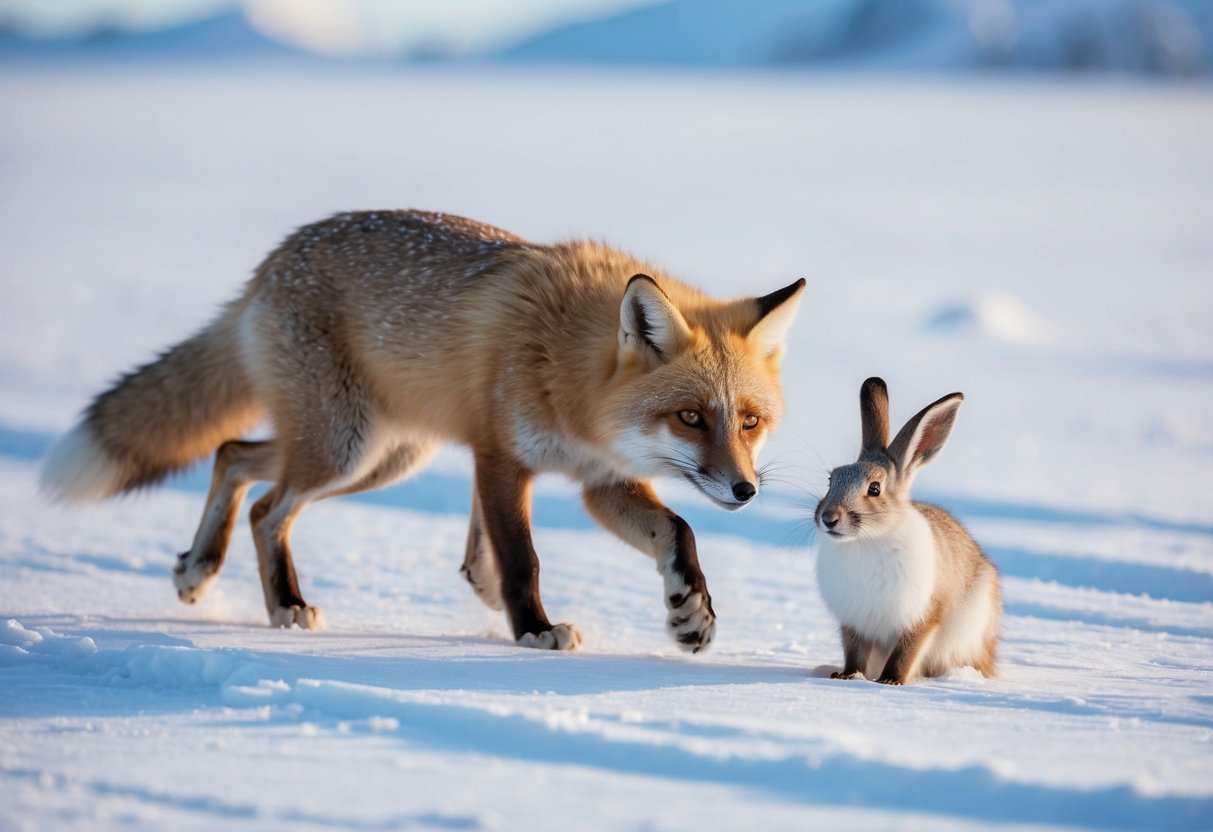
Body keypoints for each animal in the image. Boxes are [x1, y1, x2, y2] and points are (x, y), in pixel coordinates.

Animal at [40, 210, 805, 652]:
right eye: (689, 417)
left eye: (749, 421)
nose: (744, 490)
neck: (570, 373)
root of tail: (274, 259)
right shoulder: (501, 459)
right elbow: (522, 559)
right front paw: (532, 629)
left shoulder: (602, 481)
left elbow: (678, 533)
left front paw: (690, 613)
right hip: (346, 449)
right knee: (267, 507)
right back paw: (285, 604)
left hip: (379, 454)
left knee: (235, 457)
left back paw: (198, 568)